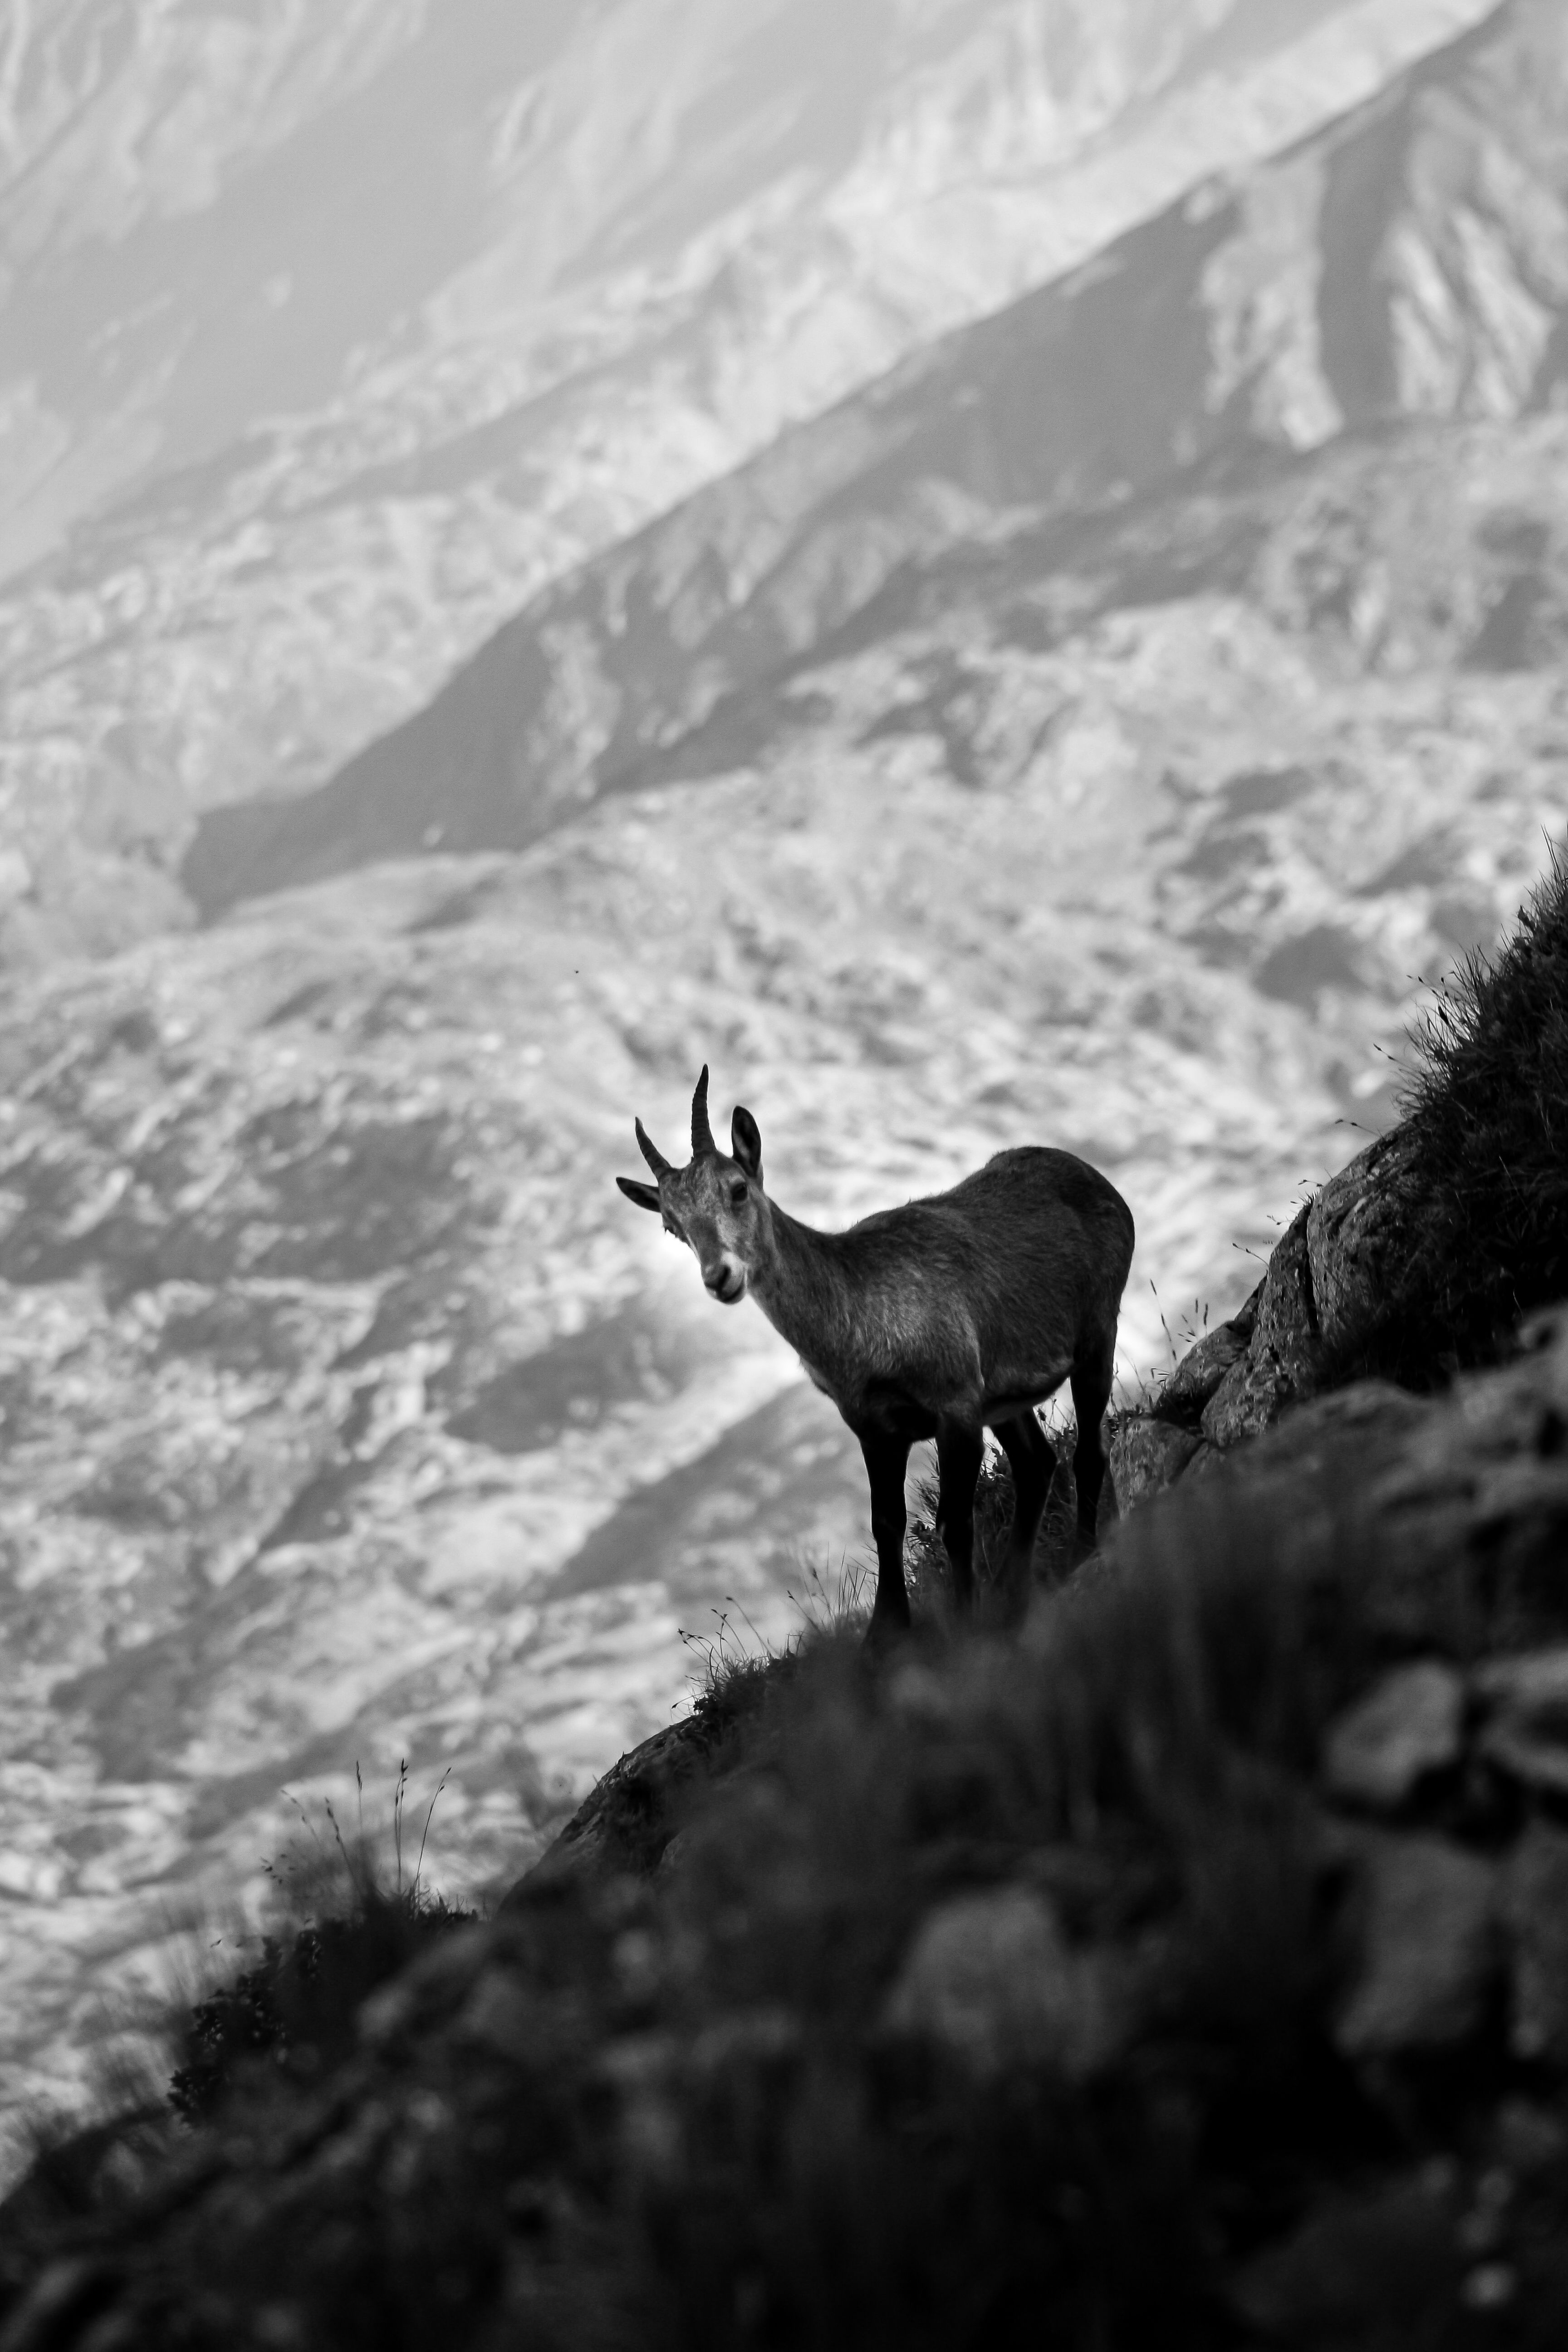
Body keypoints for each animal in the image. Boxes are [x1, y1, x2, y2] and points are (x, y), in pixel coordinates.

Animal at [617, 1069, 1135, 1640]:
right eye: (673, 1225)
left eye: (737, 1188)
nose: (720, 1277)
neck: (859, 1319)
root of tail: (1093, 1177)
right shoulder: (875, 1427)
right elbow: (886, 1522)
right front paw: (886, 1635)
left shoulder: (955, 1405)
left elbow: (954, 1521)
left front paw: (964, 1622)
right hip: (1002, 1399)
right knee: (1036, 1463)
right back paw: (1013, 1590)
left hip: (1097, 1332)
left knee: (1086, 1450)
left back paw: (1081, 1552)